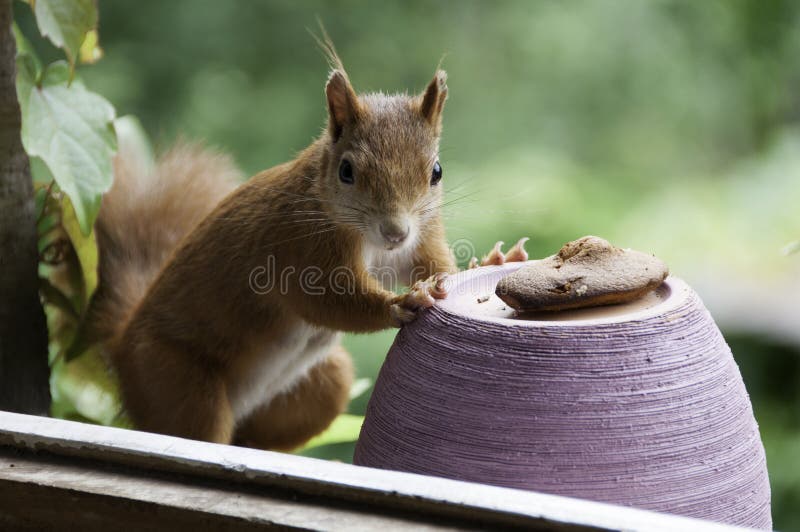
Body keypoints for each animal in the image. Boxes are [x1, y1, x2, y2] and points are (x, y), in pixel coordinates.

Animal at [89, 41, 529, 449]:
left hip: (322, 384)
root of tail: (122, 344)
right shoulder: (298, 248)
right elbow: (325, 299)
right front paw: (401, 302)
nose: (395, 232)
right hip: (174, 381)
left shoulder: (422, 237)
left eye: (436, 171)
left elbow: (438, 269)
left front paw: (492, 260)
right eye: (347, 171)